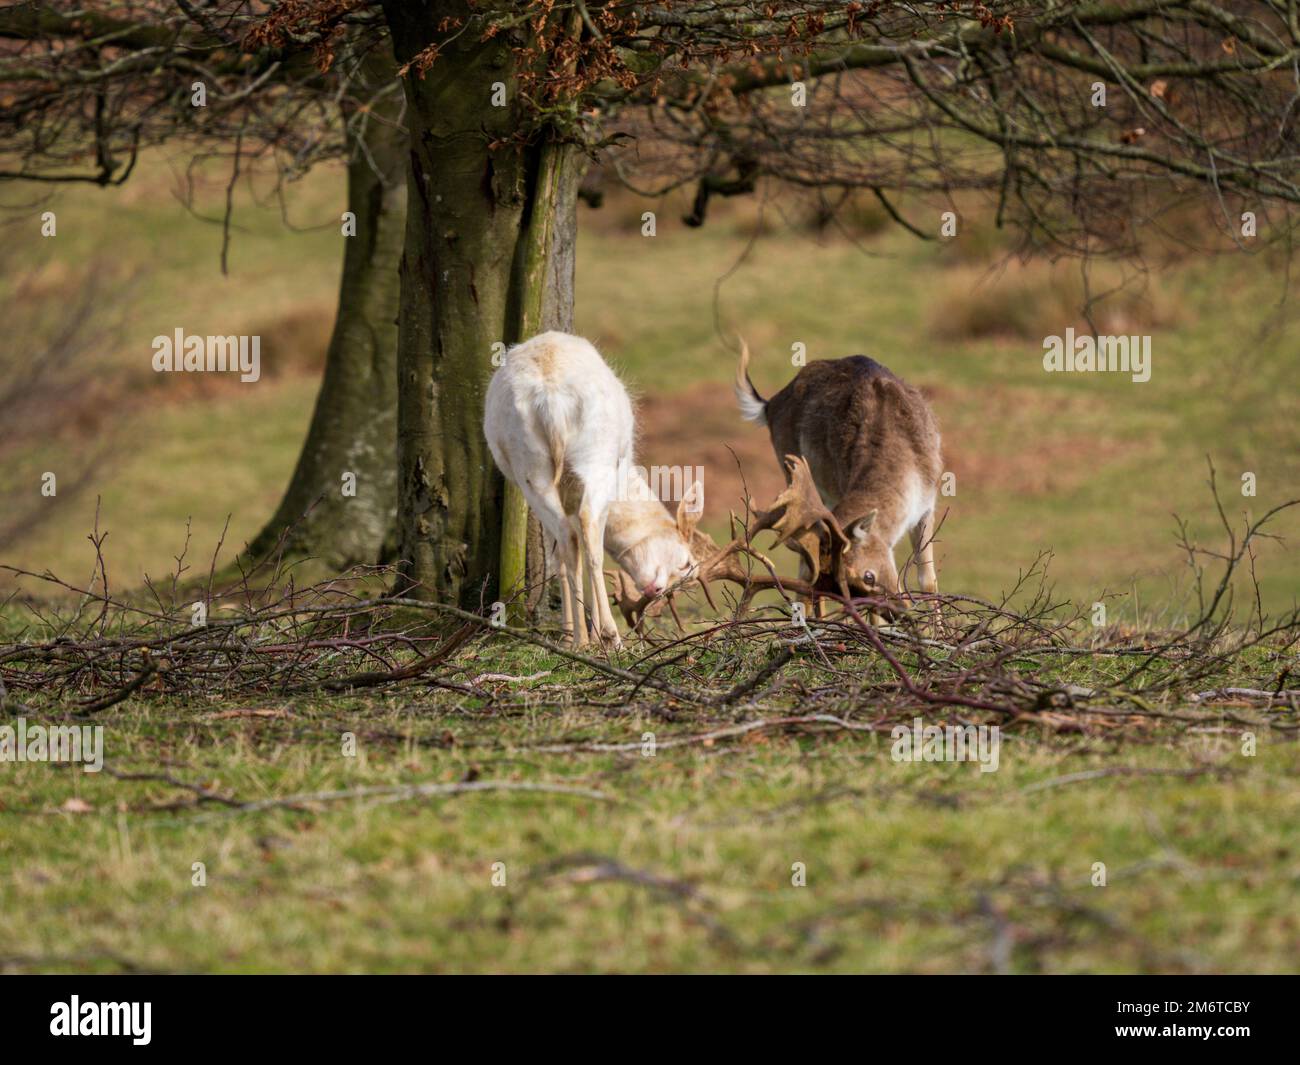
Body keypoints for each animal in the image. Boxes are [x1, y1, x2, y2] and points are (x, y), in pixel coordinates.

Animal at [484, 332, 700, 649]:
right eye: (686, 564)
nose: (656, 591)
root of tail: (549, 396)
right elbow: (593, 544)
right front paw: (598, 633)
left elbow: (559, 558)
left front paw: (570, 633)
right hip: (596, 456)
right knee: (588, 529)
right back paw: (610, 635)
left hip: (530, 470)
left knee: (566, 535)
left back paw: (579, 639)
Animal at [733, 342, 942, 618]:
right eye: (848, 585)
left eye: (868, 576)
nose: (896, 613)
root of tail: (769, 405)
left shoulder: (928, 506)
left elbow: (928, 580)